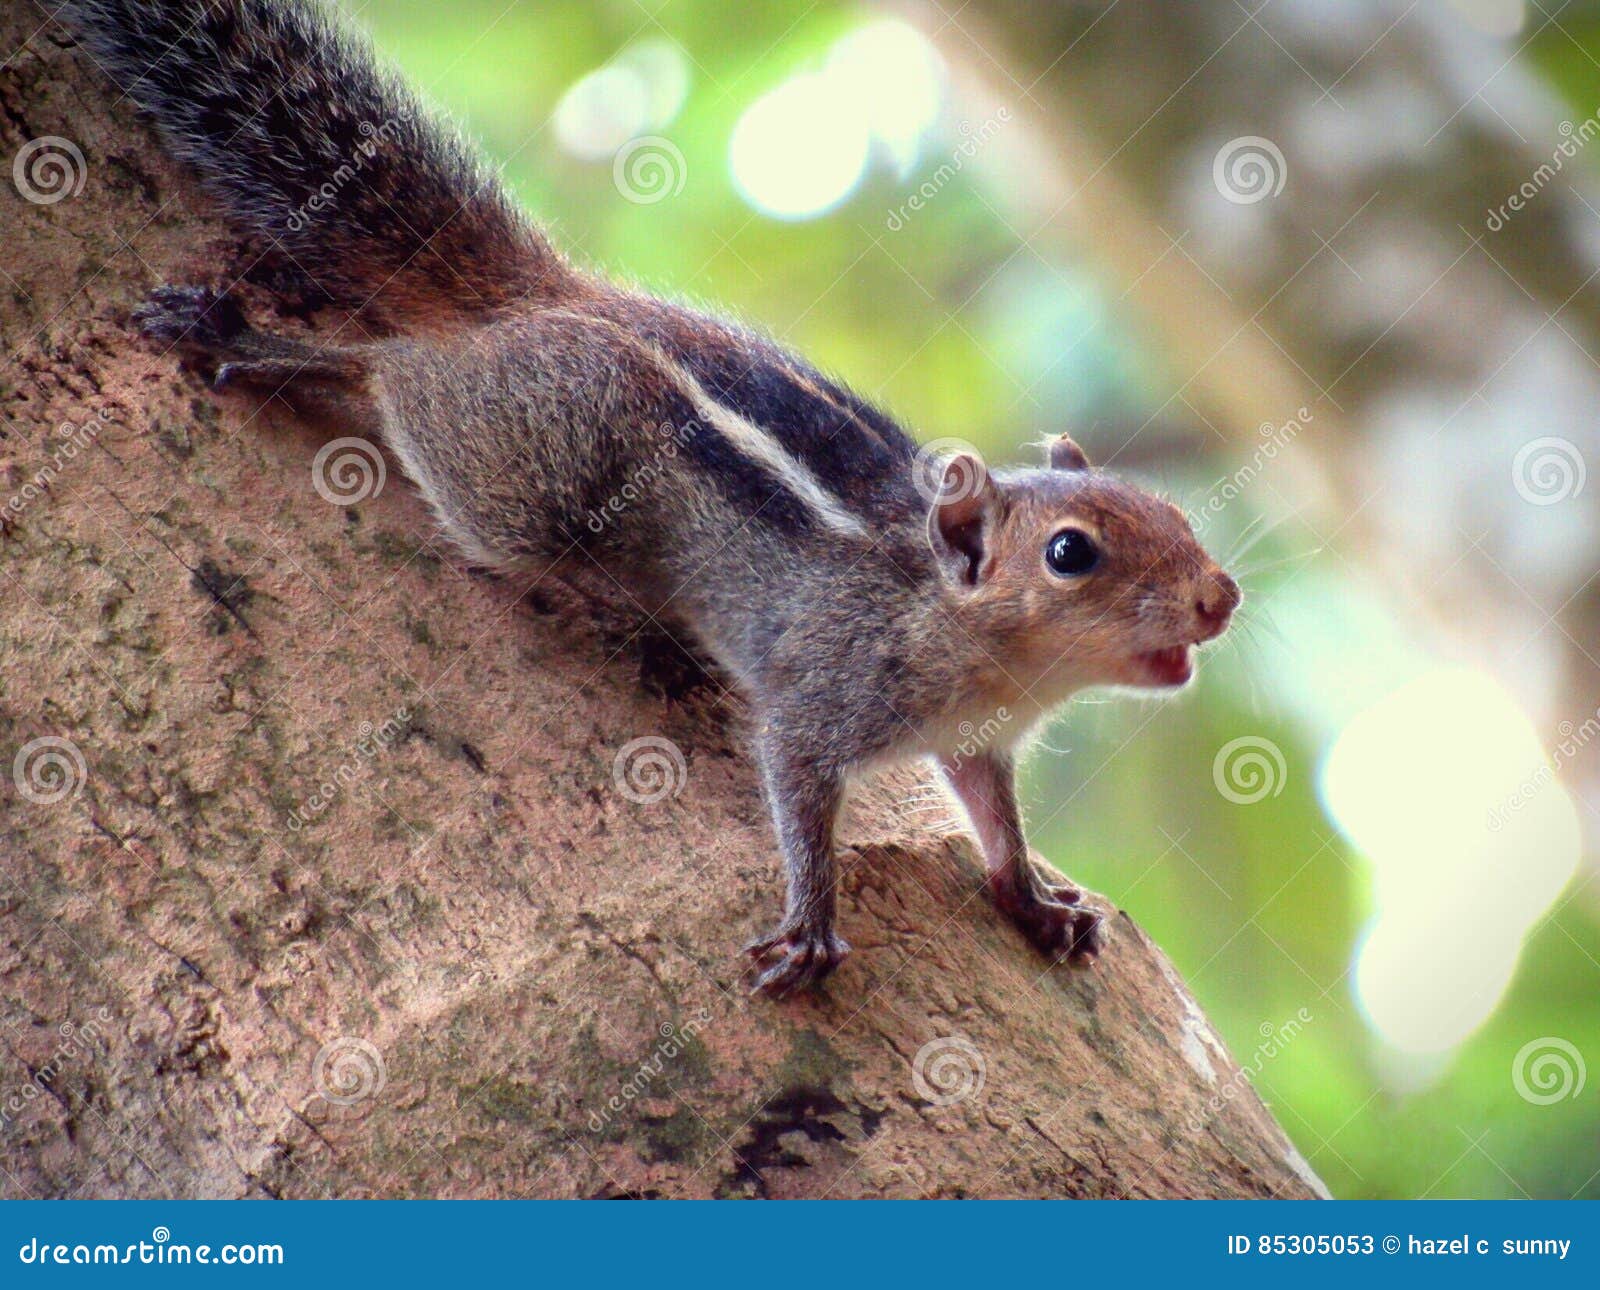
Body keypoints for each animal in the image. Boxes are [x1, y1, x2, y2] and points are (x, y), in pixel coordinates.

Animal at [56, 0, 1240, 996]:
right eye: (1072, 553)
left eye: (1179, 519)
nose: (1220, 597)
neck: (971, 641)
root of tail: (548, 303)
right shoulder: (823, 696)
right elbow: (801, 795)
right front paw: (812, 924)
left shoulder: (977, 741)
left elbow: (993, 818)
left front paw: (1033, 899)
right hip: (521, 480)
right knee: (395, 373)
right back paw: (259, 344)